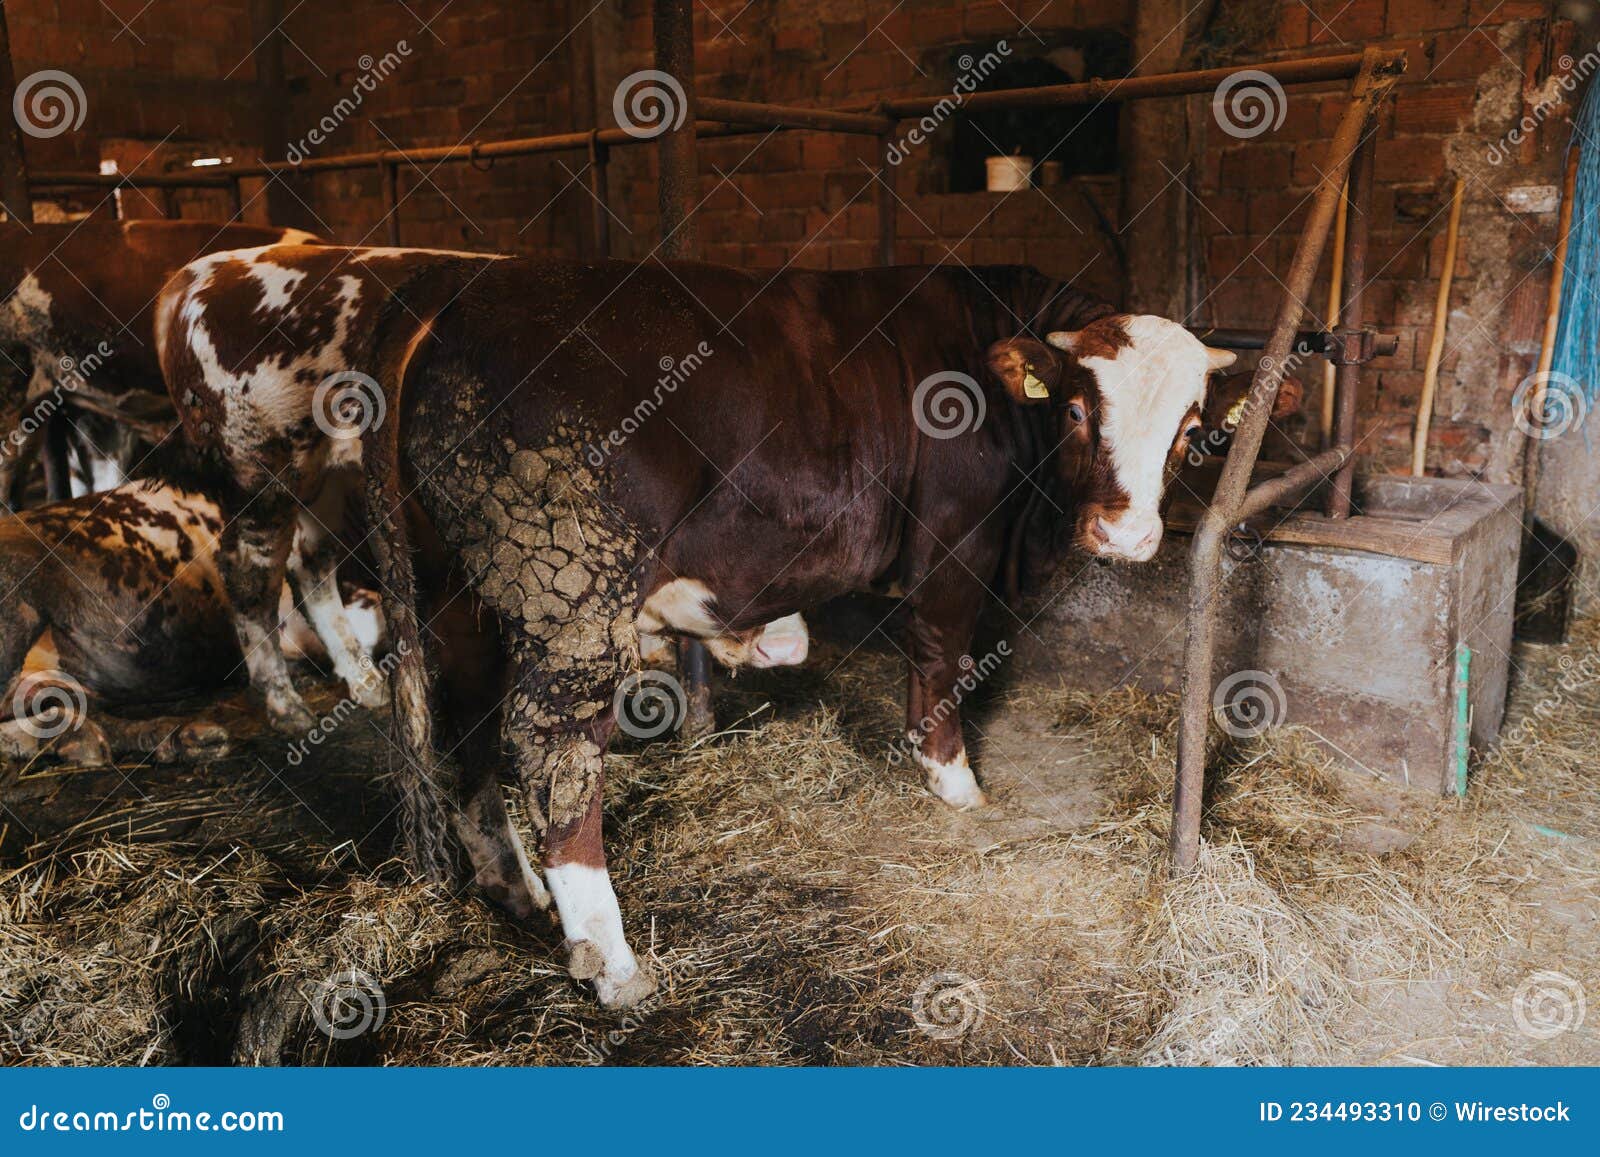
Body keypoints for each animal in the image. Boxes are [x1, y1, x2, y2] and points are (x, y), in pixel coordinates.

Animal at [339, 255, 1297, 1008]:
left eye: (1190, 430)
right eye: (1075, 412)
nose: (1127, 536)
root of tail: (459, 292)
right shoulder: (956, 542)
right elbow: (939, 651)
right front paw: (954, 781)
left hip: (456, 589)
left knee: (462, 722)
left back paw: (515, 889)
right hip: (571, 593)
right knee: (553, 748)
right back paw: (611, 961)